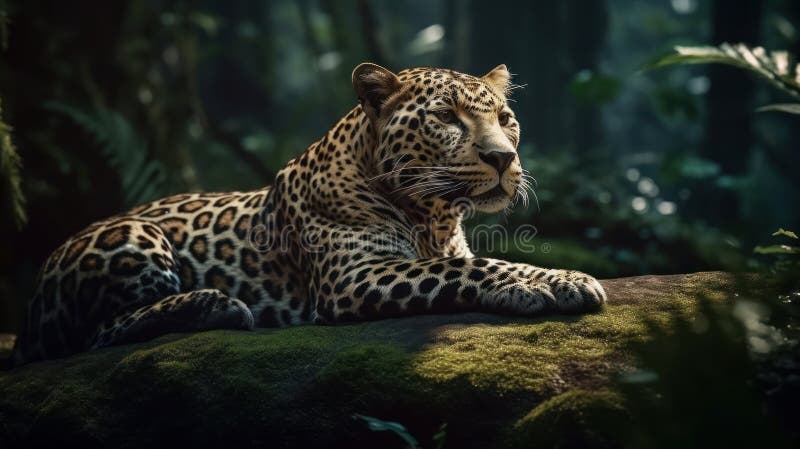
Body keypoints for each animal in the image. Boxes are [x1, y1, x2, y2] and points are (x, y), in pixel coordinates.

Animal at [10, 63, 606, 366]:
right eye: (446, 117)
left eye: (504, 118)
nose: (503, 158)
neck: (435, 216)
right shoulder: (356, 277)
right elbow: (468, 268)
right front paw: (546, 283)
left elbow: (471, 261)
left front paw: (561, 277)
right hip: (137, 233)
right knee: (94, 336)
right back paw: (216, 304)